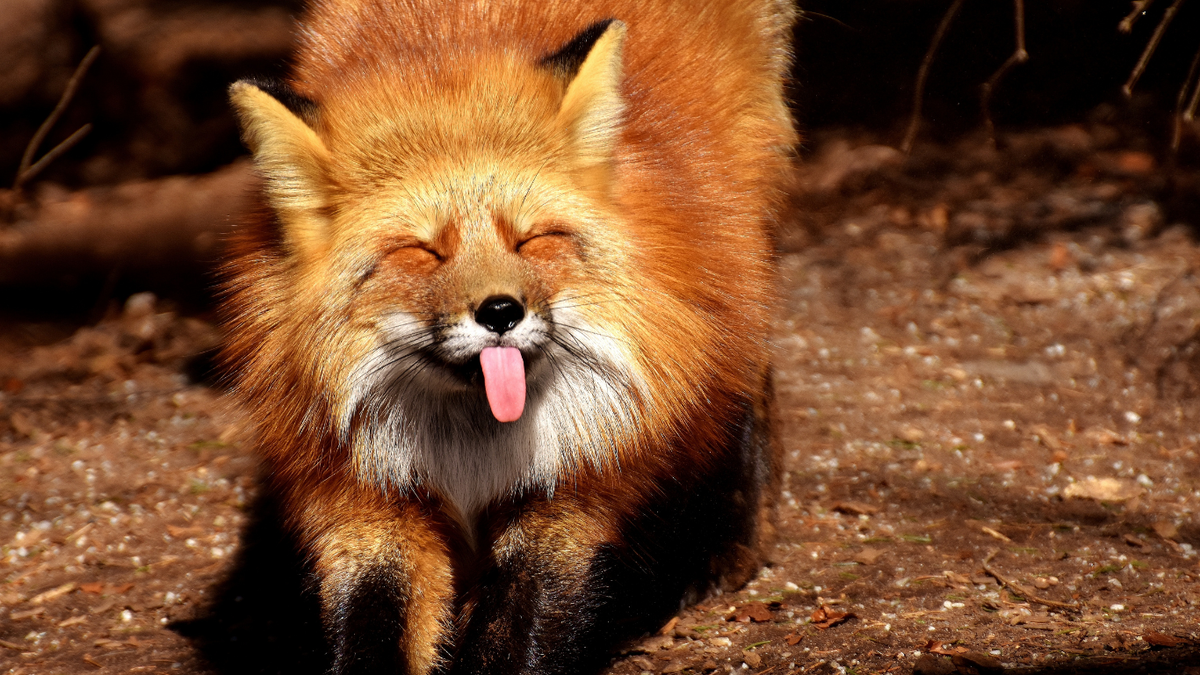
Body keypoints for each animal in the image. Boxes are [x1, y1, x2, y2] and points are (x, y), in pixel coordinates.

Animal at [222, 0, 797, 673]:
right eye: (423, 251)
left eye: (531, 240)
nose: (501, 311)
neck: (473, 451)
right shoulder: (365, 498)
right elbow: (373, 619)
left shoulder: (574, 487)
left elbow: (521, 624)